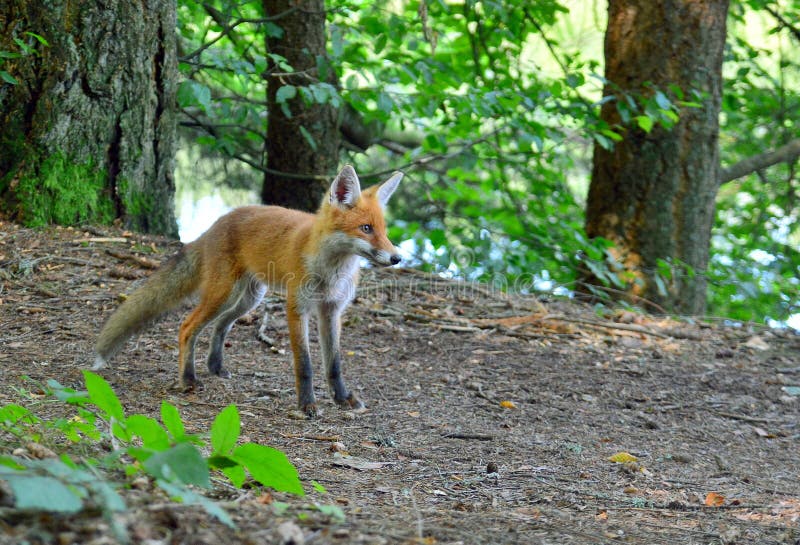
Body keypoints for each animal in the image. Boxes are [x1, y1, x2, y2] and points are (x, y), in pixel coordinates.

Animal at [93, 165, 403, 417]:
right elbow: (304, 364)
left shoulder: (331, 310)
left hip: (249, 298)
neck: (332, 272)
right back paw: (188, 380)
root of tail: (217, 222)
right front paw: (306, 405)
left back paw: (215, 366)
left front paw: (342, 399)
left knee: (220, 325)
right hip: (224, 293)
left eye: (385, 231)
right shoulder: (297, 308)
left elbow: (334, 364)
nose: (397, 258)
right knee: (187, 326)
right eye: (366, 228)